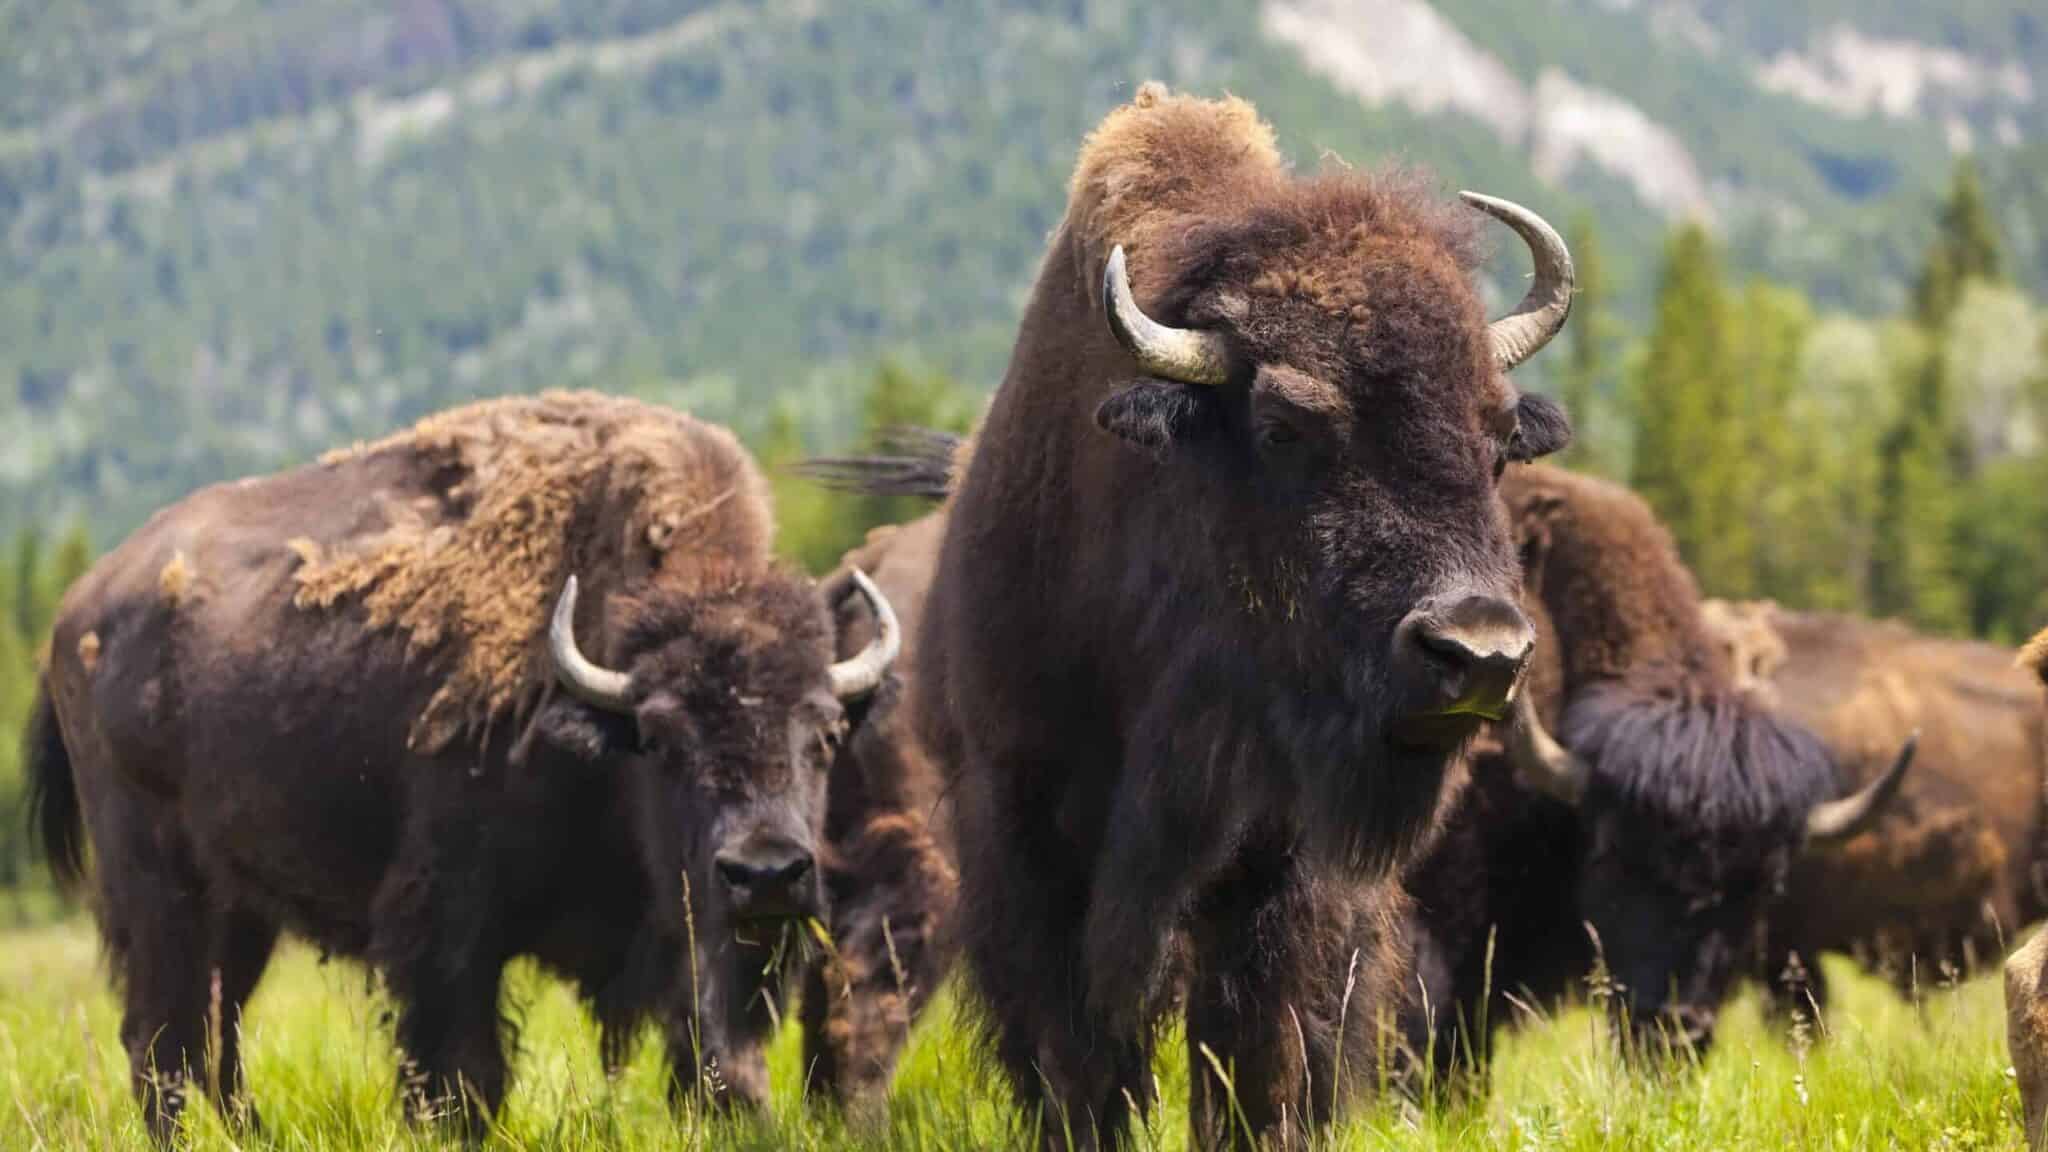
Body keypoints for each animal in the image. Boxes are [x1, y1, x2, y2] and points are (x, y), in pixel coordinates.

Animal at [26, 391, 900, 1138]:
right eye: (660, 740)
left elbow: (716, 1059)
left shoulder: (690, 942)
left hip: (240, 910)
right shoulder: (448, 923)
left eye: (825, 733)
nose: (766, 873)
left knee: (215, 1040)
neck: (592, 715)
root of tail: (77, 610)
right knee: (161, 1042)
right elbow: (463, 1074)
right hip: (157, 889)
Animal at [869, 83, 1577, 1149]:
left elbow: (1260, 1036)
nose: (1480, 651)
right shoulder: (1025, 822)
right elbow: (1077, 1044)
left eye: (1497, 439)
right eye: (1284, 427)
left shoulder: (1283, 859)